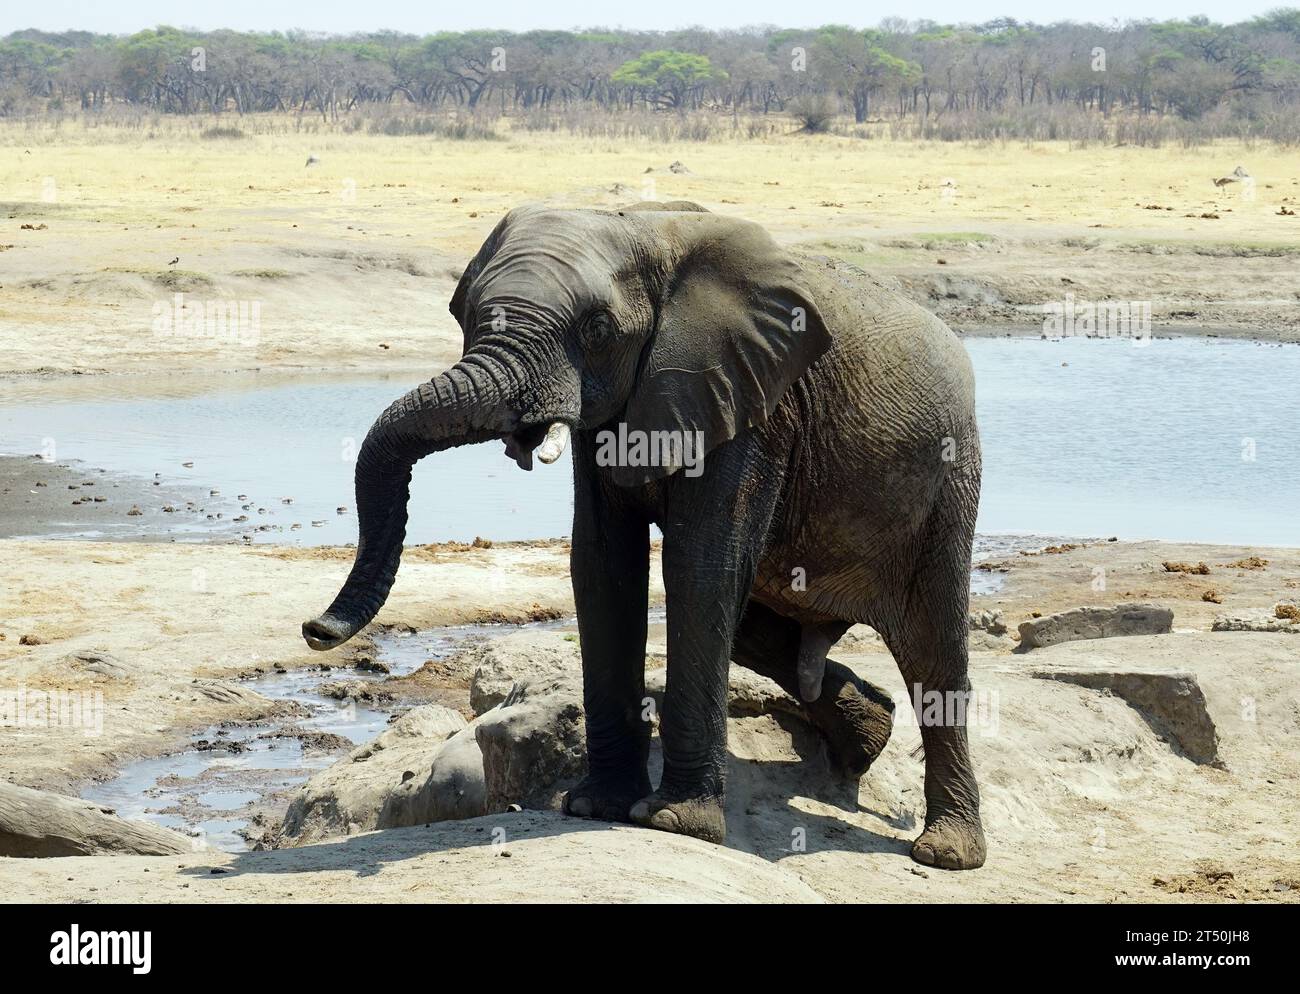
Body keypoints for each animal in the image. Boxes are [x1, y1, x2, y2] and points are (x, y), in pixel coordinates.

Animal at [302, 201, 986, 870]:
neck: (639, 226)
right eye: (464, 315)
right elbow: (602, 566)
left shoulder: (752, 405)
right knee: (761, 634)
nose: (315, 630)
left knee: (934, 649)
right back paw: (866, 740)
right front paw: (596, 808)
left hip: (948, 484)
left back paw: (946, 852)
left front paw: (675, 823)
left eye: (598, 331)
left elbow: (699, 569)